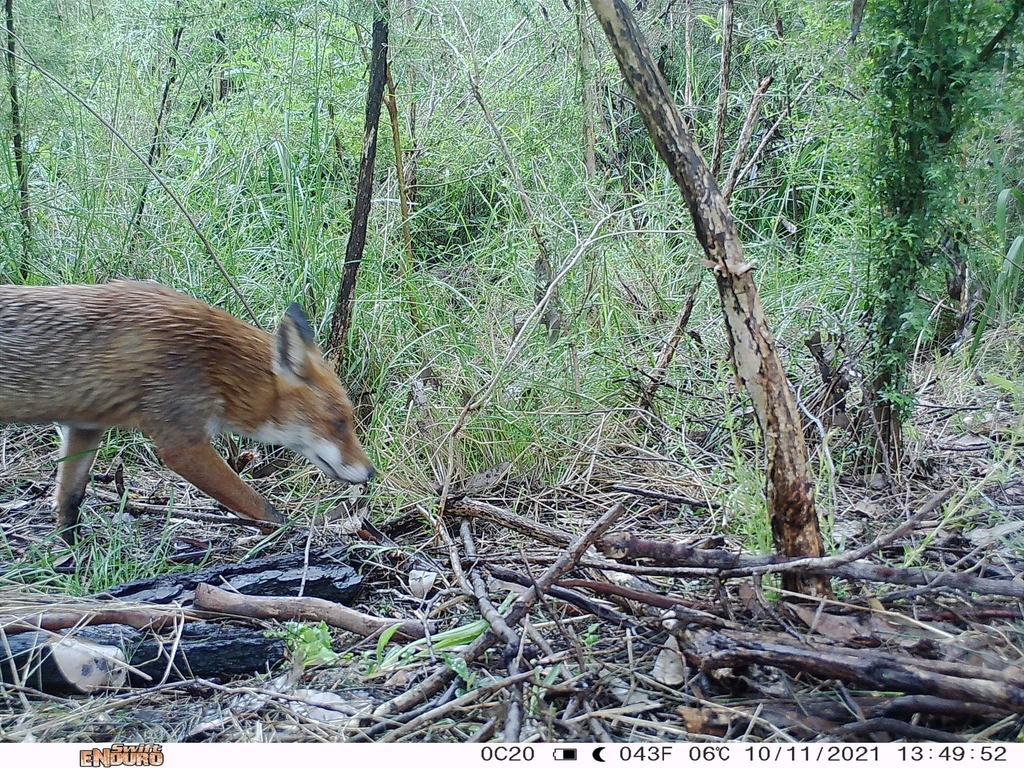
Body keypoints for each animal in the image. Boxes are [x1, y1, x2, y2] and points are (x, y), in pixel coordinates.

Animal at [0, 281, 376, 543]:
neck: (215, 365)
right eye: (339, 422)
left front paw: (72, 555)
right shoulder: (183, 445)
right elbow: (259, 505)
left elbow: (70, 498)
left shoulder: (86, 424)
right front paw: (293, 534)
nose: (371, 473)